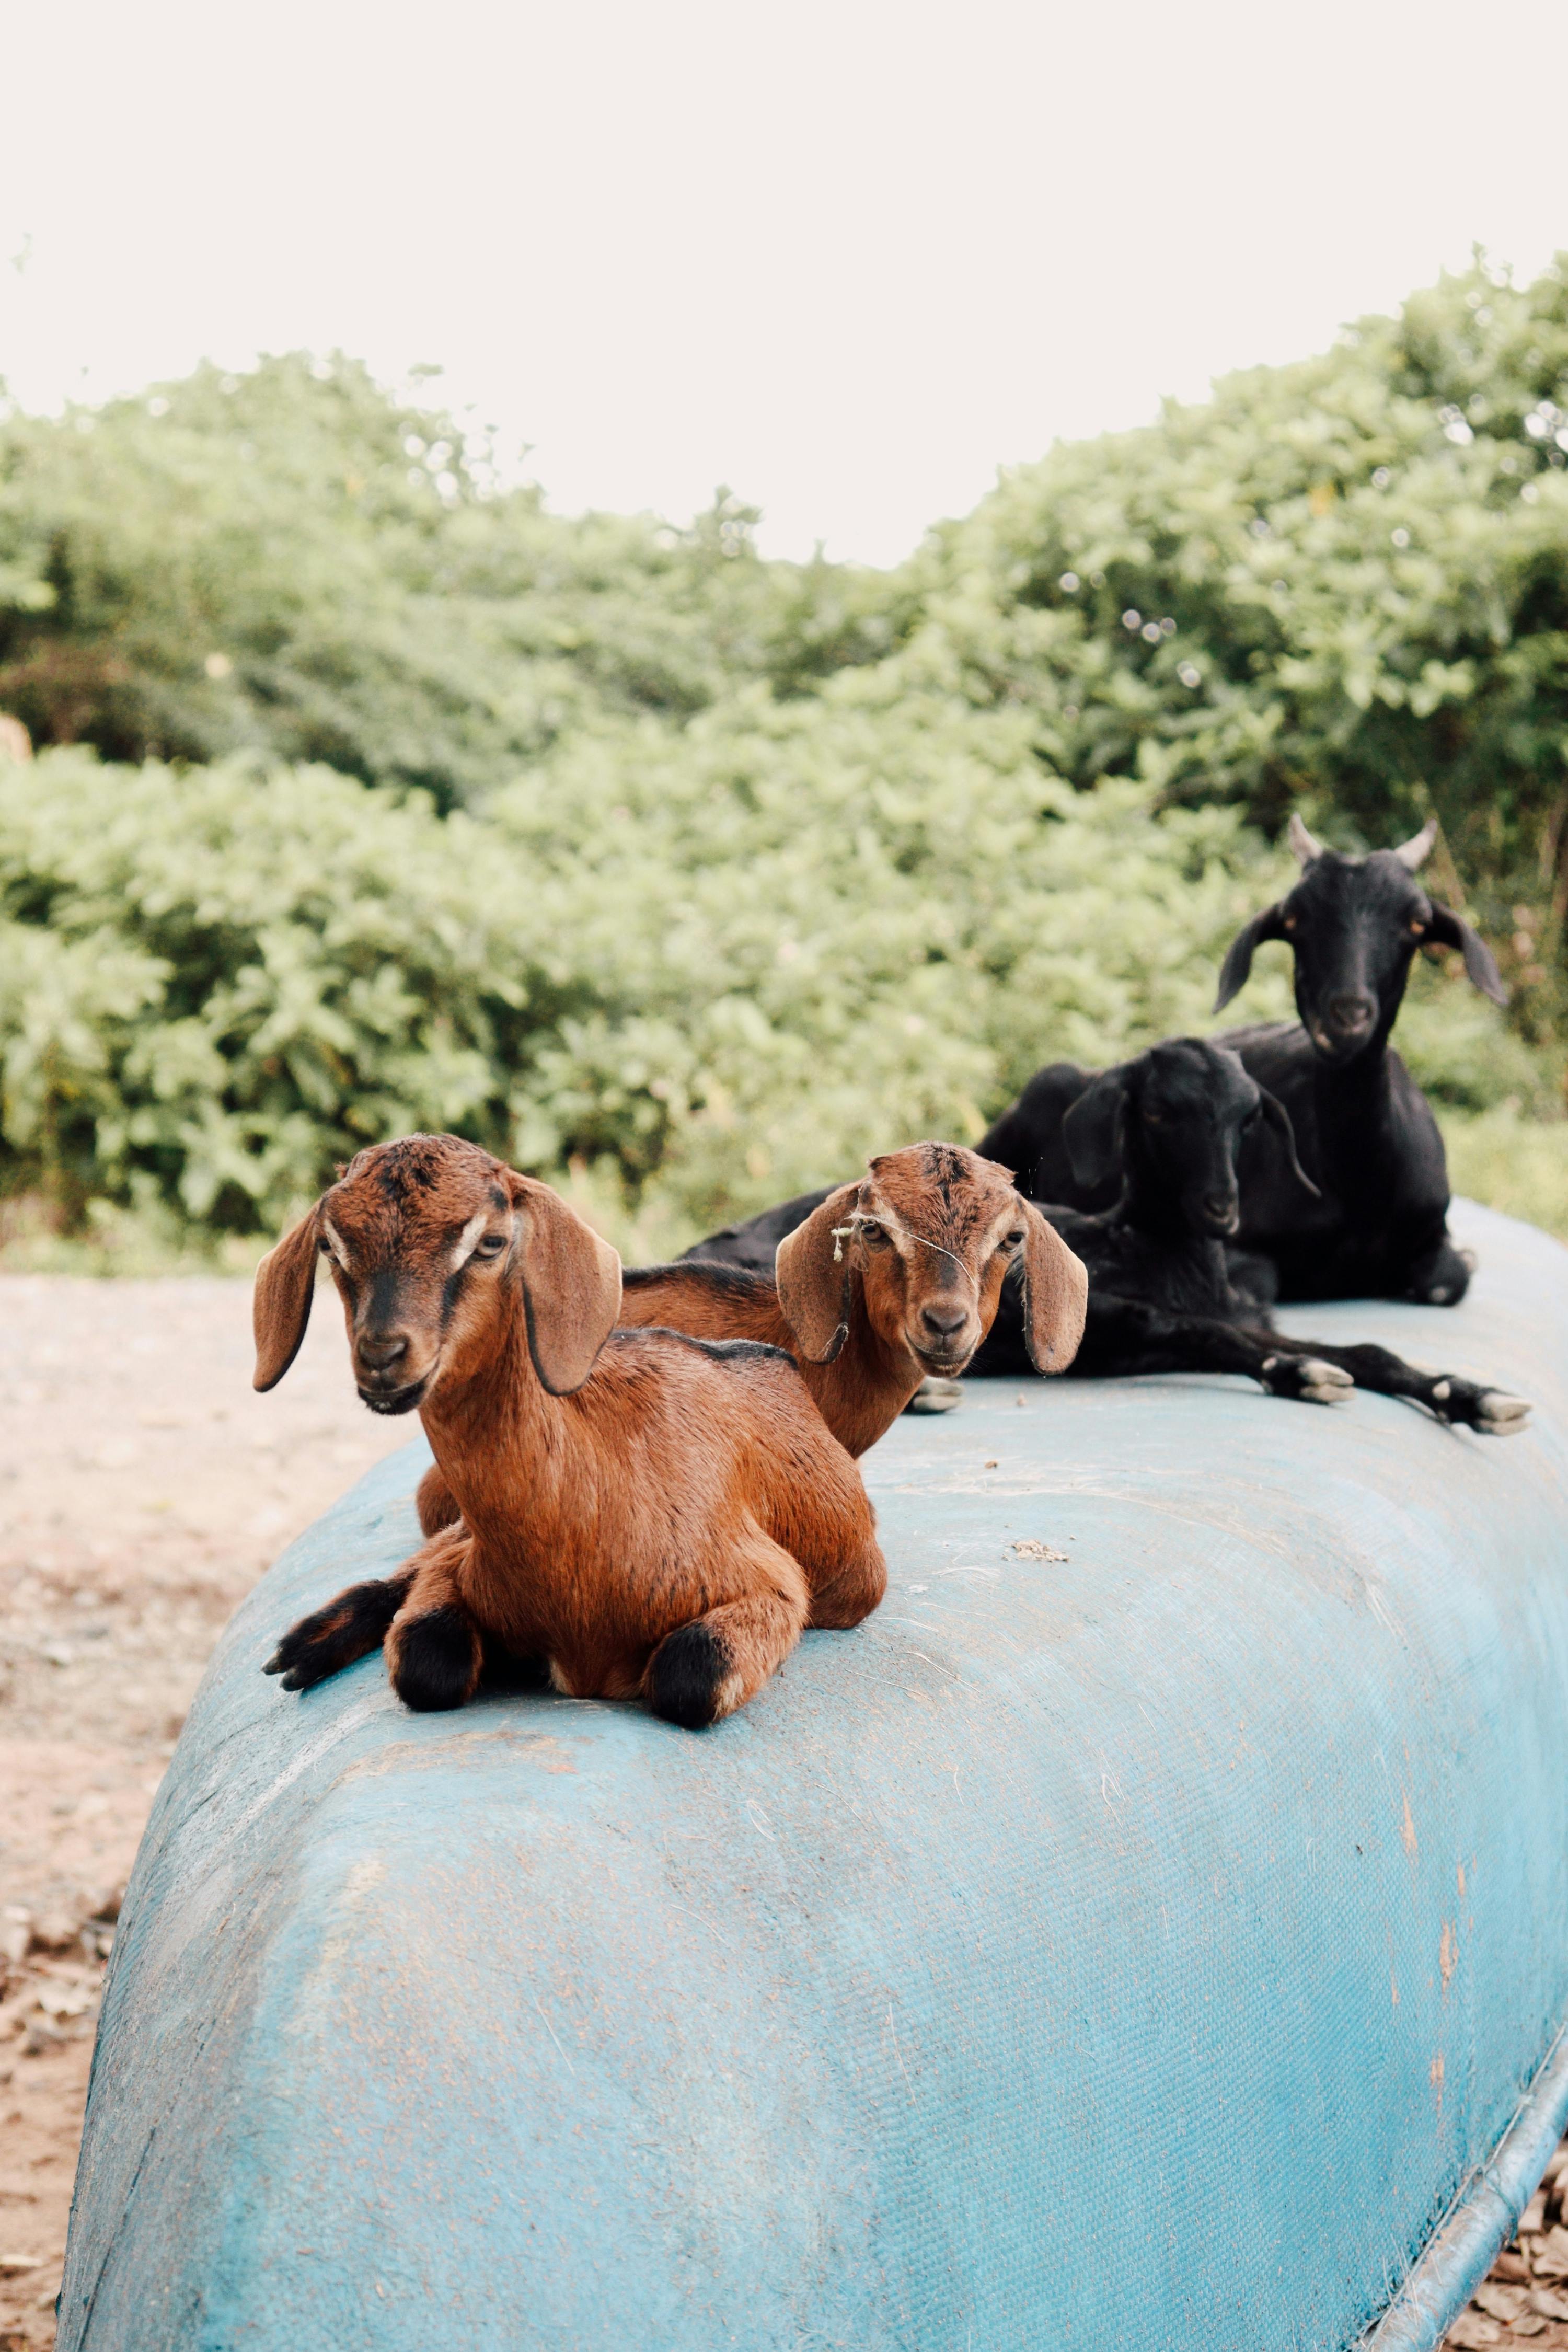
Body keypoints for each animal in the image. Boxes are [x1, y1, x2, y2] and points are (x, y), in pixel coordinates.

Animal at [253, 1134, 888, 1731]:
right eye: (331, 1247)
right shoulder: (456, 1572)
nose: (383, 1355)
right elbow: (424, 1659)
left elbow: (690, 1673)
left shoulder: (771, 1584)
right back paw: (300, 1651)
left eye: (490, 1242)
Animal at [969, 1040, 1530, 1435]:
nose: (1223, 1207)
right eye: (1156, 1111)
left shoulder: (1235, 1317)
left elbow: (1366, 1351)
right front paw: (1299, 1371)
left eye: (1250, 1117)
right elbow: (1182, 1329)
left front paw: (1474, 1398)